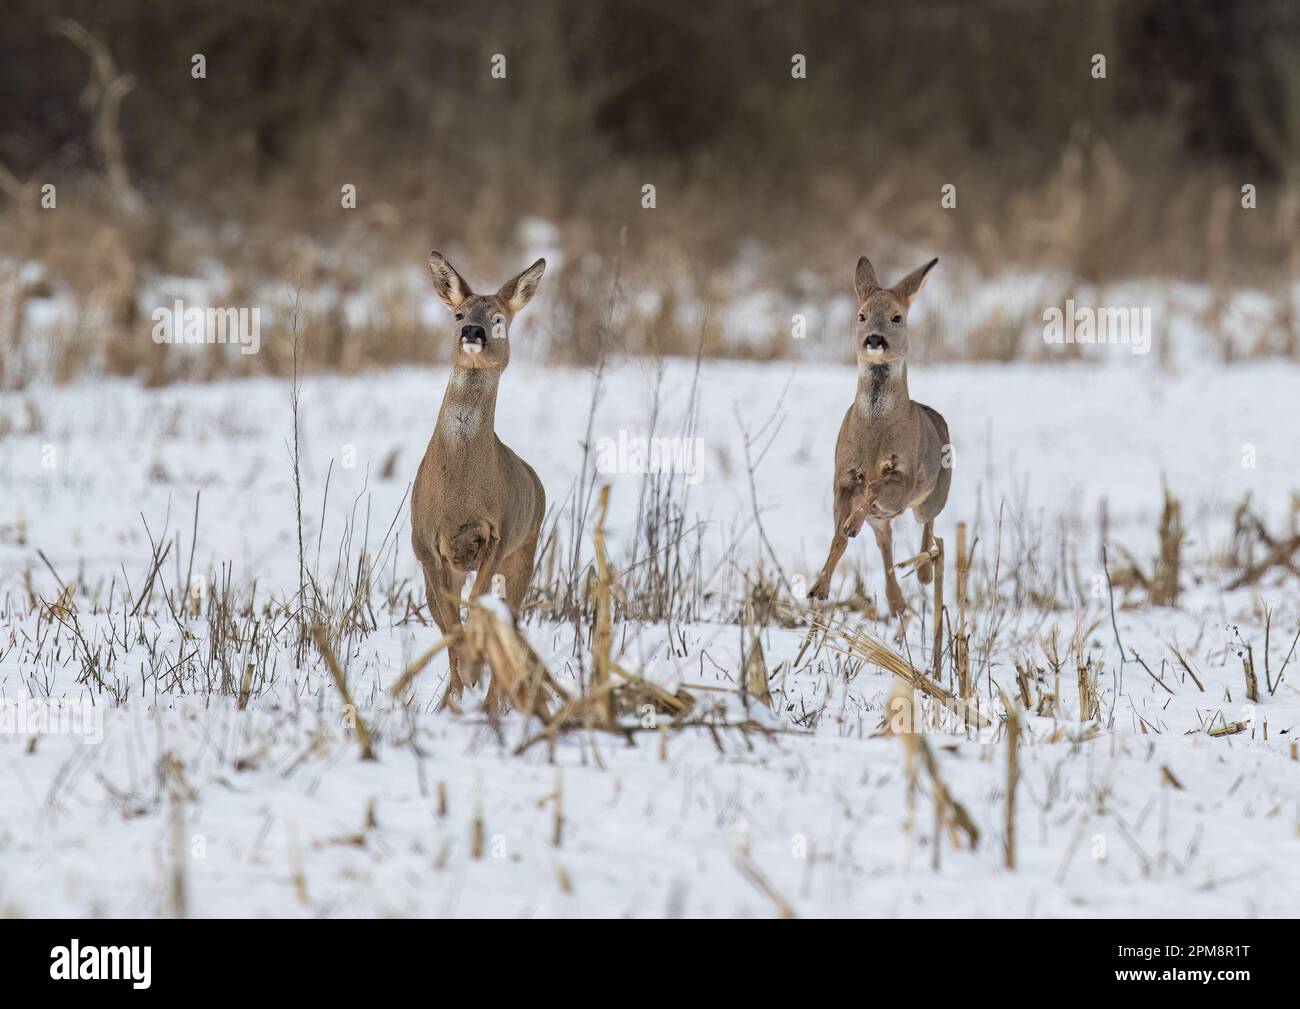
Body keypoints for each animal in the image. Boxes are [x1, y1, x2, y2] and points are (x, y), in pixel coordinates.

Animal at [412, 251, 548, 705]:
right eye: (458, 314)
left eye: (498, 317)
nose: (473, 331)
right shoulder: (427, 544)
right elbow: (450, 624)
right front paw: (454, 693)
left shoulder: (498, 535)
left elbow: (477, 611)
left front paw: (473, 676)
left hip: (526, 549)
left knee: (509, 620)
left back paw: (497, 700)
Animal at [808, 255, 951, 616]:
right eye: (861, 315)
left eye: (896, 317)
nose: (874, 339)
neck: (874, 432)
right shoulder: (842, 478)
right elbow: (839, 538)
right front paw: (819, 589)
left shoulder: (903, 477)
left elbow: (874, 488)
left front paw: (851, 524)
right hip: (888, 516)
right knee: (885, 539)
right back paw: (897, 601)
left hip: (936, 492)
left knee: (928, 523)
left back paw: (925, 574)